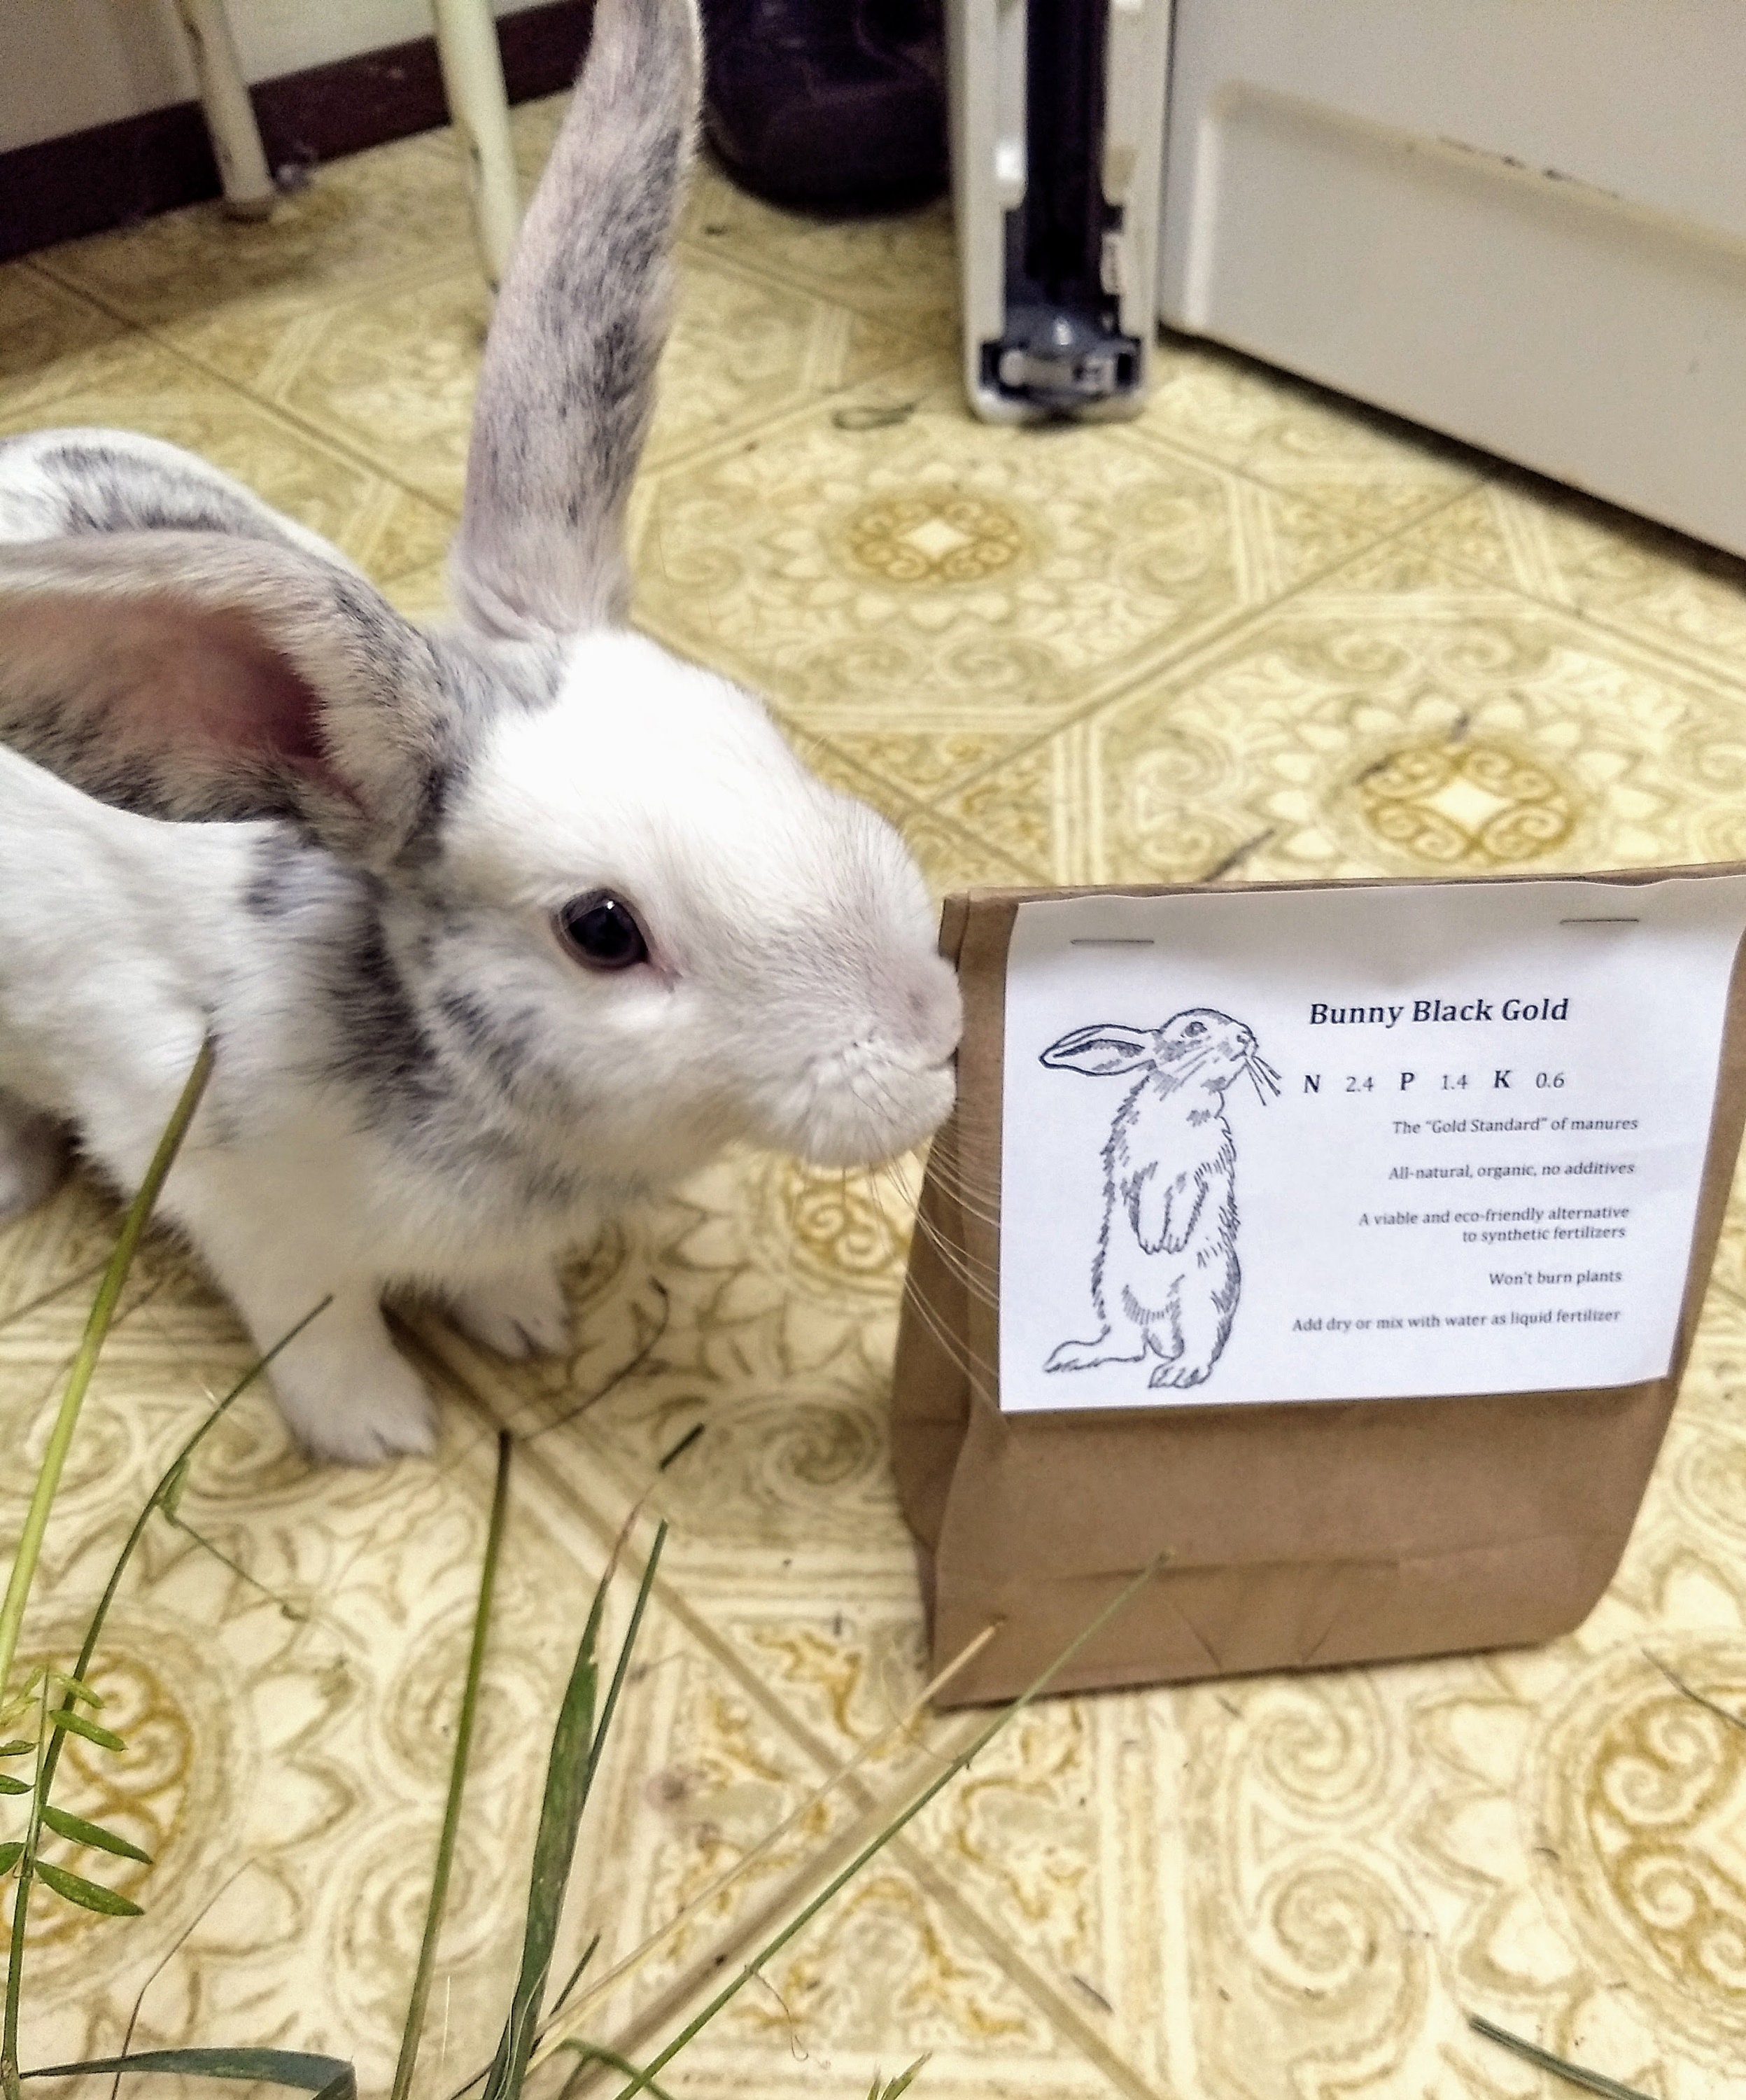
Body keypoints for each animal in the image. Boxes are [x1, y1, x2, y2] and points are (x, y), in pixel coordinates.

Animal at [0, 0, 961, 1465]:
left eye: (764, 733)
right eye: (602, 932)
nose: (931, 1036)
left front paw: (525, 1325)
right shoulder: (232, 1200)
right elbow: (321, 1328)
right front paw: (381, 1433)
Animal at [1039, 1010, 1279, 1390]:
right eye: (1195, 1028)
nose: (1246, 1036)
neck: (1179, 1108)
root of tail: (1160, 1333)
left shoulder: (1199, 1173)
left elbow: (1183, 1203)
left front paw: (1169, 1243)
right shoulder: (1135, 1170)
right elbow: (1146, 1199)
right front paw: (1153, 1242)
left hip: (1203, 1296)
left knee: (1198, 1347)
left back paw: (1177, 1371)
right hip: (1111, 1288)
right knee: (1126, 1345)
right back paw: (1073, 1355)